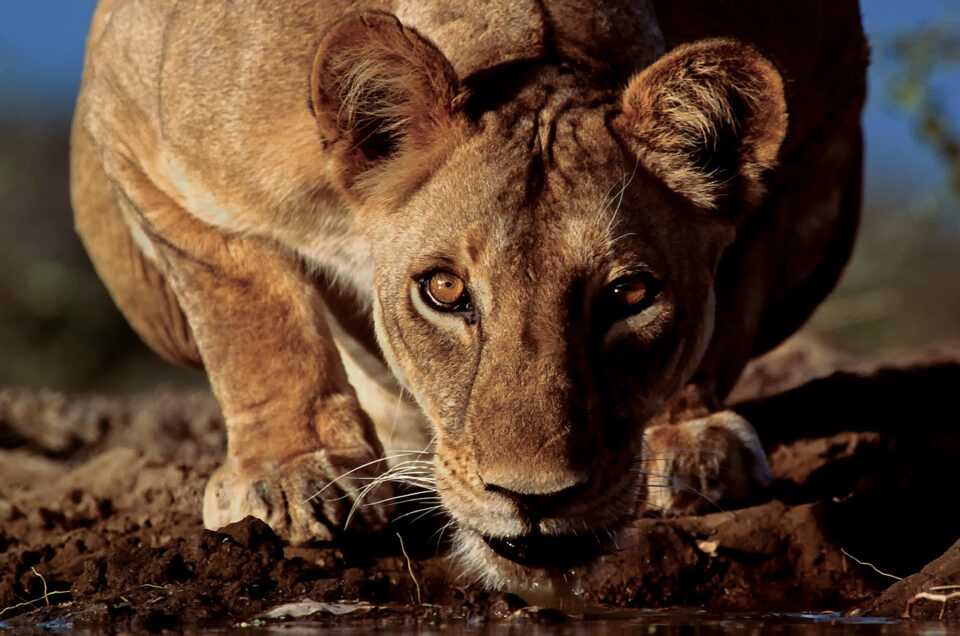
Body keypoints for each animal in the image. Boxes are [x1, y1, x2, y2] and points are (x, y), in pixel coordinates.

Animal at [72, 0, 867, 593]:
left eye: (631, 293)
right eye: (445, 289)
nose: (536, 500)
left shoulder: (811, 133)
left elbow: (722, 313)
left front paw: (689, 440)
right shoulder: (141, 127)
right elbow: (248, 310)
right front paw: (293, 477)